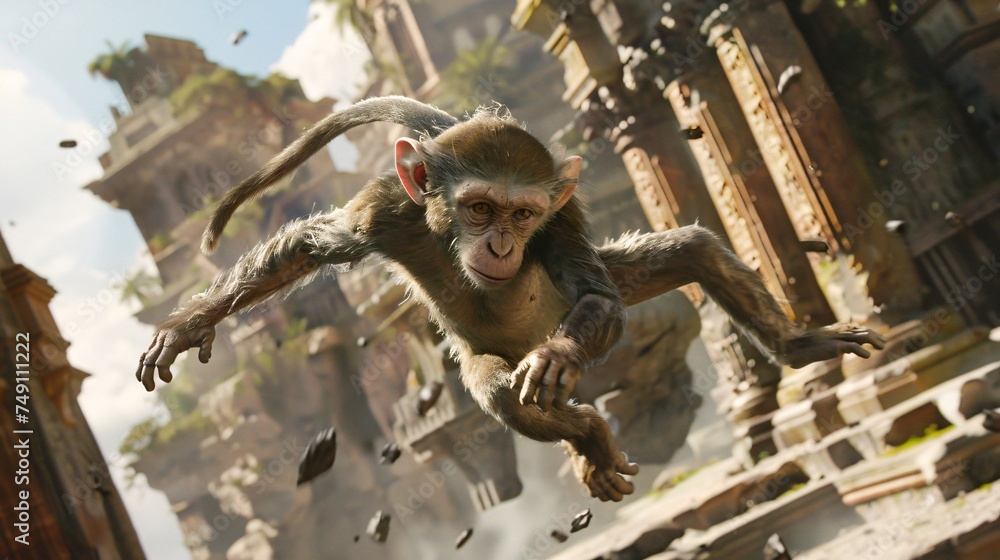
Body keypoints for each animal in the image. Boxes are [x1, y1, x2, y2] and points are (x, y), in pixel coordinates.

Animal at [137, 96, 885, 502]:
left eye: (521, 216)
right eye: (479, 207)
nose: (500, 244)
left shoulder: (562, 221)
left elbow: (597, 299)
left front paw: (557, 358)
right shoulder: (385, 212)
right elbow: (308, 247)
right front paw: (193, 321)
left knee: (689, 252)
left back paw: (797, 344)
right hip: (478, 355)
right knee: (501, 393)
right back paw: (591, 438)